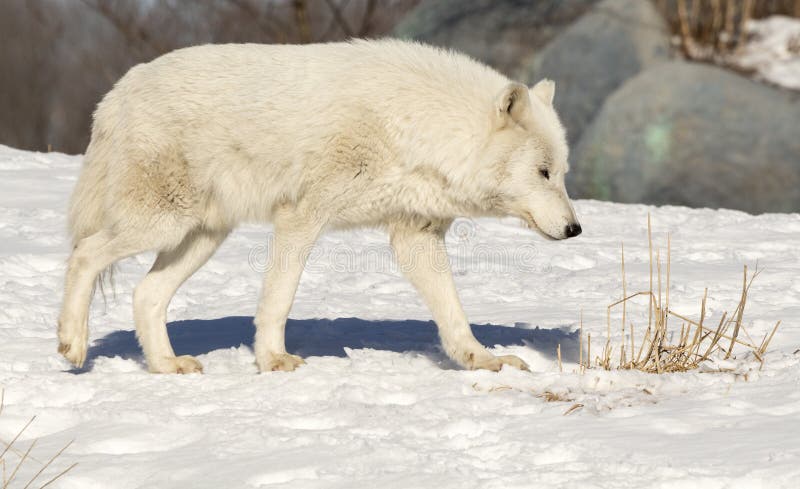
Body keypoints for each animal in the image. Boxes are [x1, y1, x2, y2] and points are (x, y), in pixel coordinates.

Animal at [57, 39, 582, 374]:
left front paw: (485, 361)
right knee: (84, 253)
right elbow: (278, 300)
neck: (416, 128)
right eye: (542, 172)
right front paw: (273, 360)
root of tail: (117, 92)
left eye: (562, 172)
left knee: (144, 295)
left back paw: (166, 365)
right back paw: (73, 343)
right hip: (162, 224)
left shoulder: (415, 237)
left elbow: (454, 314)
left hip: (201, 237)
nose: (575, 229)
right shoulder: (301, 217)